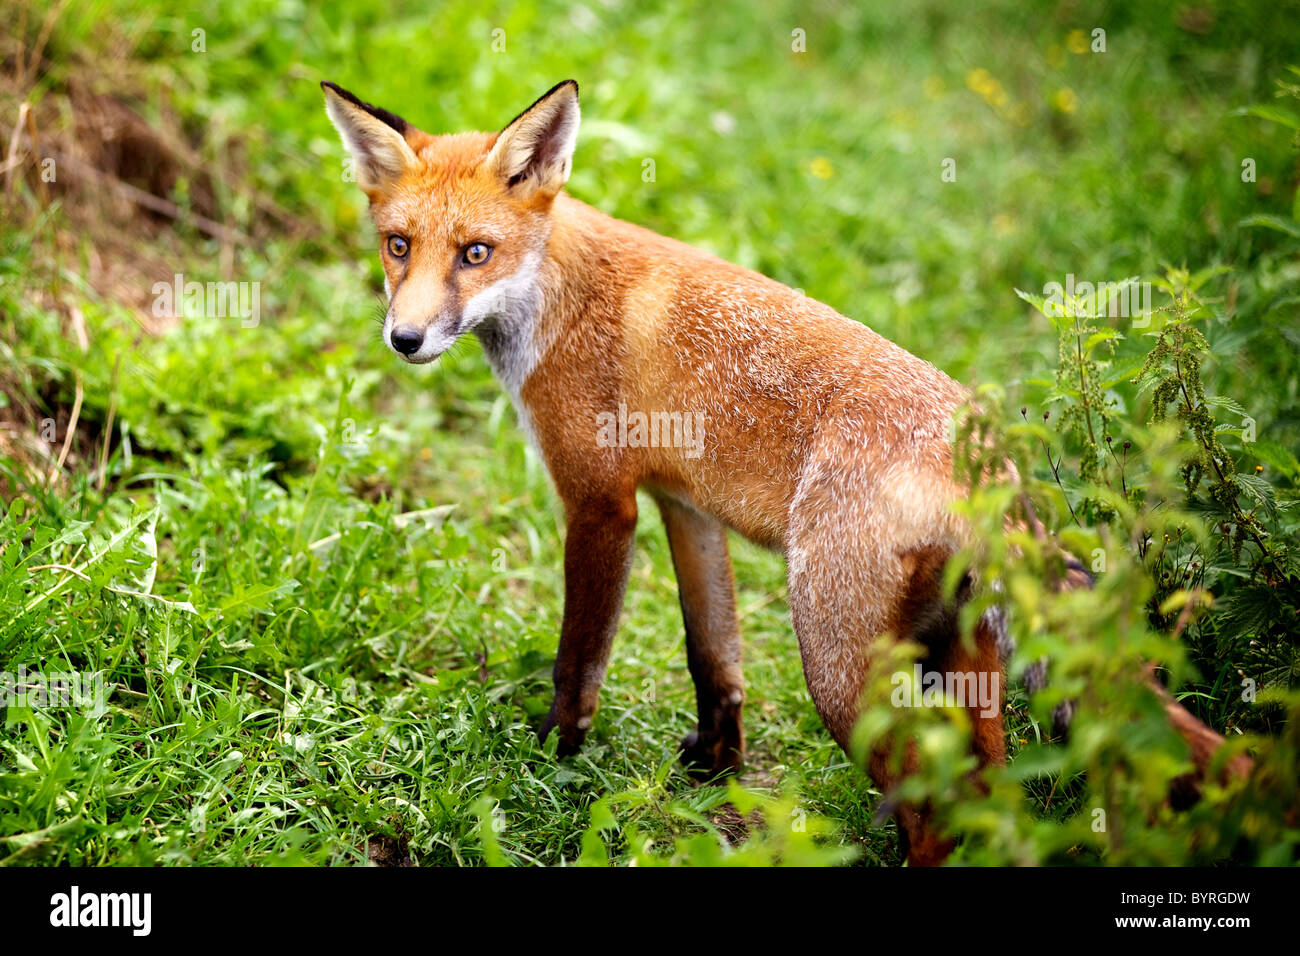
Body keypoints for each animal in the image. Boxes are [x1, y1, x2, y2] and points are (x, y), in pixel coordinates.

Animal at [322, 78, 1248, 864]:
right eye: (398, 246)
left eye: (476, 253)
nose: (405, 339)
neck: (557, 295)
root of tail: (983, 453)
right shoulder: (683, 506)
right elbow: (715, 657)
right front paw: (716, 771)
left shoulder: (600, 503)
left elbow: (577, 664)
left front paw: (554, 761)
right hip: (959, 658)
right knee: (988, 794)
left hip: (838, 669)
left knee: (933, 807)